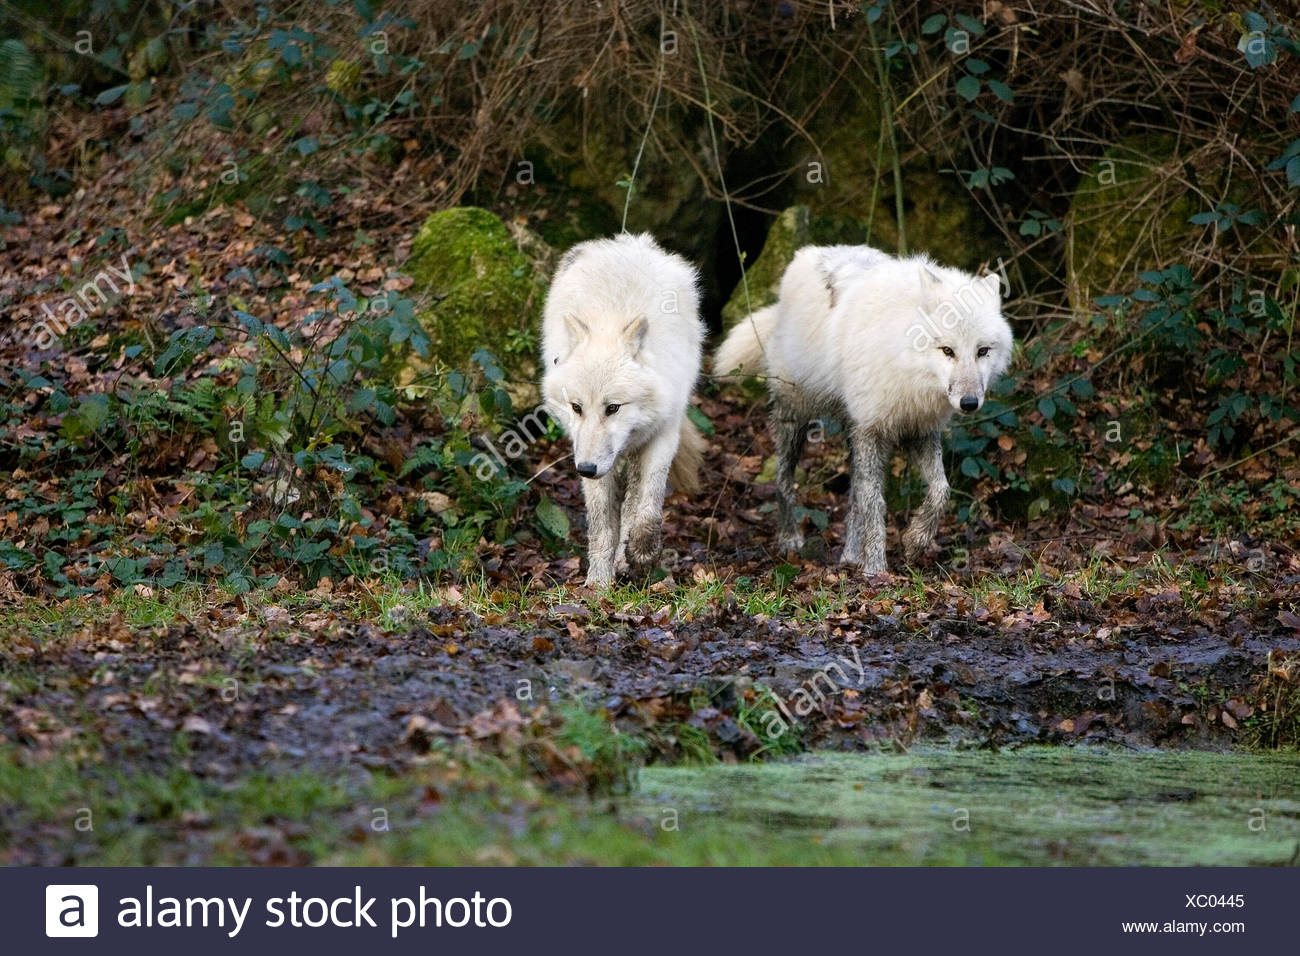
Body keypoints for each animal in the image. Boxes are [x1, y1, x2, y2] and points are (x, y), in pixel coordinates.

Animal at [541, 233, 706, 586]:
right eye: (577, 407)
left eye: (613, 407)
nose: (585, 469)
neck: (611, 319)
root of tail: (627, 241)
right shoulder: (587, 452)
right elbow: (602, 524)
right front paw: (598, 585)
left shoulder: (664, 434)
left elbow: (648, 508)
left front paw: (641, 554)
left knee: (634, 501)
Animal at [714, 244, 1013, 574]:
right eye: (948, 351)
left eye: (982, 351)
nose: (969, 403)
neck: (908, 369)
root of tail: (809, 252)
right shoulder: (871, 429)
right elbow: (874, 501)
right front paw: (875, 567)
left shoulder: (918, 430)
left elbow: (939, 491)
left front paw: (915, 540)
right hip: (796, 418)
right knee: (783, 480)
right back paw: (791, 538)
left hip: (852, 433)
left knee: (854, 494)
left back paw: (849, 554)